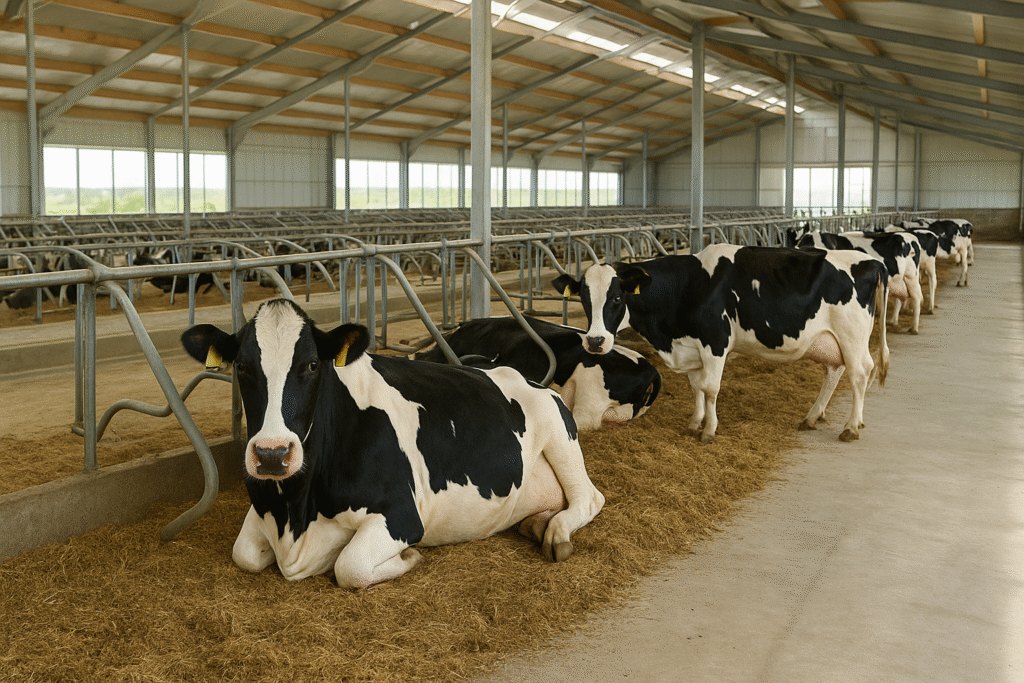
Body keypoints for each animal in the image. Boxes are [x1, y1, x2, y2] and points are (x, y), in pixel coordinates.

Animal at [180, 299, 605, 588]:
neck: (294, 515)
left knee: (589, 498)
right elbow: (244, 554)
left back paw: (556, 532)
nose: (272, 454)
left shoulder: (400, 514)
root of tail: (520, 376)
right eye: (241, 366)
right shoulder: (263, 509)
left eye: (313, 364)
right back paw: (534, 523)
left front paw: (409, 558)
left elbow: (349, 566)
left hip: (559, 436)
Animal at [552, 244, 890, 444]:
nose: (595, 341)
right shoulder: (692, 347)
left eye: (617, 297)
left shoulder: (715, 341)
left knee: (860, 373)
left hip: (852, 335)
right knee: (835, 371)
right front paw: (695, 422)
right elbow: (696, 387)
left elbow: (711, 388)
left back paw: (851, 426)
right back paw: (812, 416)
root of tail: (871, 261)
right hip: (831, 340)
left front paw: (709, 431)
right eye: (584, 299)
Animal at [787, 229, 924, 334]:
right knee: (899, 299)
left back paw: (914, 328)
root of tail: (910, 237)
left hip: (911, 277)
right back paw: (893, 321)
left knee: (916, 298)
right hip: (900, 281)